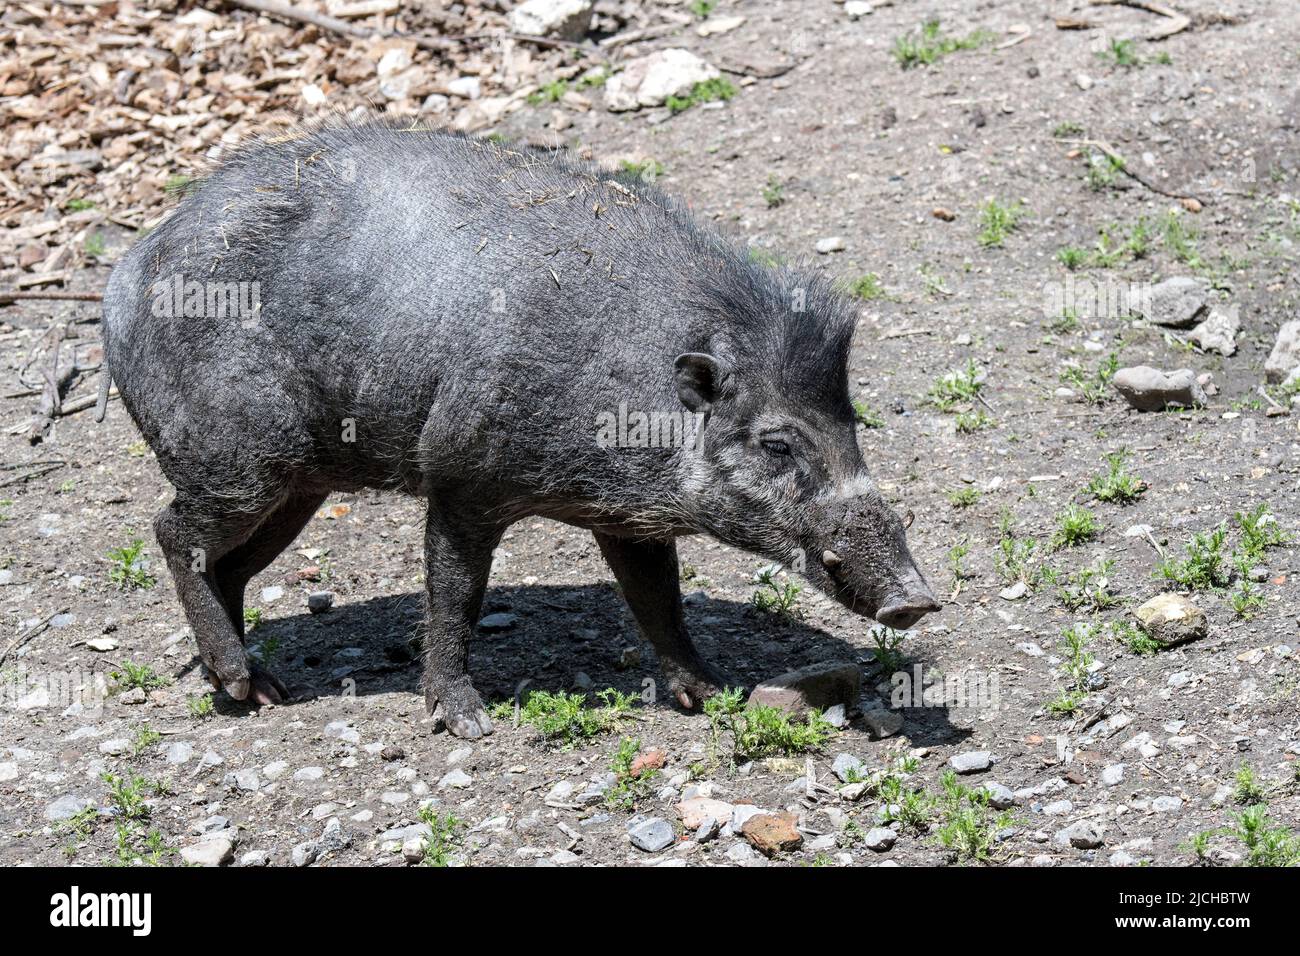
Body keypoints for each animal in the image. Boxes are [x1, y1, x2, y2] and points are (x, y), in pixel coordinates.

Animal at [100, 121, 938, 739]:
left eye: (853, 425)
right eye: (777, 443)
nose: (917, 601)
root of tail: (124, 272)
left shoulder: (626, 520)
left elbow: (659, 601)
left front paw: (715, 694)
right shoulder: (460, 477)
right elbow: (454, 596)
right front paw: (466, 724)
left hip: (297, 486)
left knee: (229, 565)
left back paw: (262, 690)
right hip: (238, 460)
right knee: (171, 532)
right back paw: (240, 681)